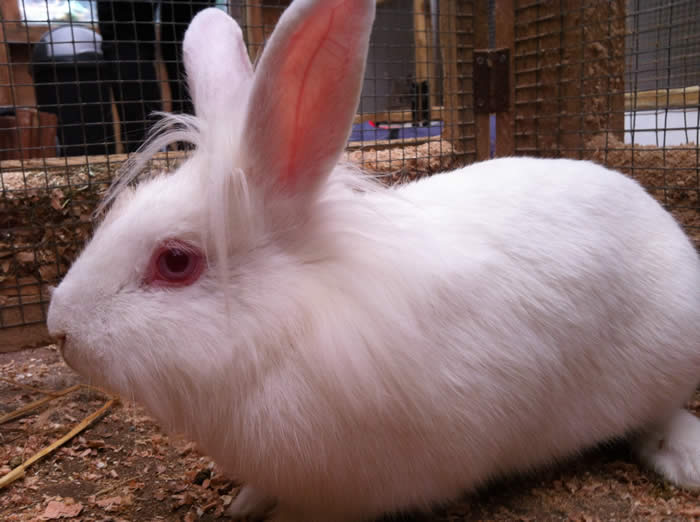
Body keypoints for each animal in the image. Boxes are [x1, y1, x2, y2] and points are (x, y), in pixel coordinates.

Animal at [47, 1, 700, 521]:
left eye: (176, 262)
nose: (59, 329)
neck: (289, 321)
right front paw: (245, 503)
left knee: (660, 412)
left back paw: (682, 458)